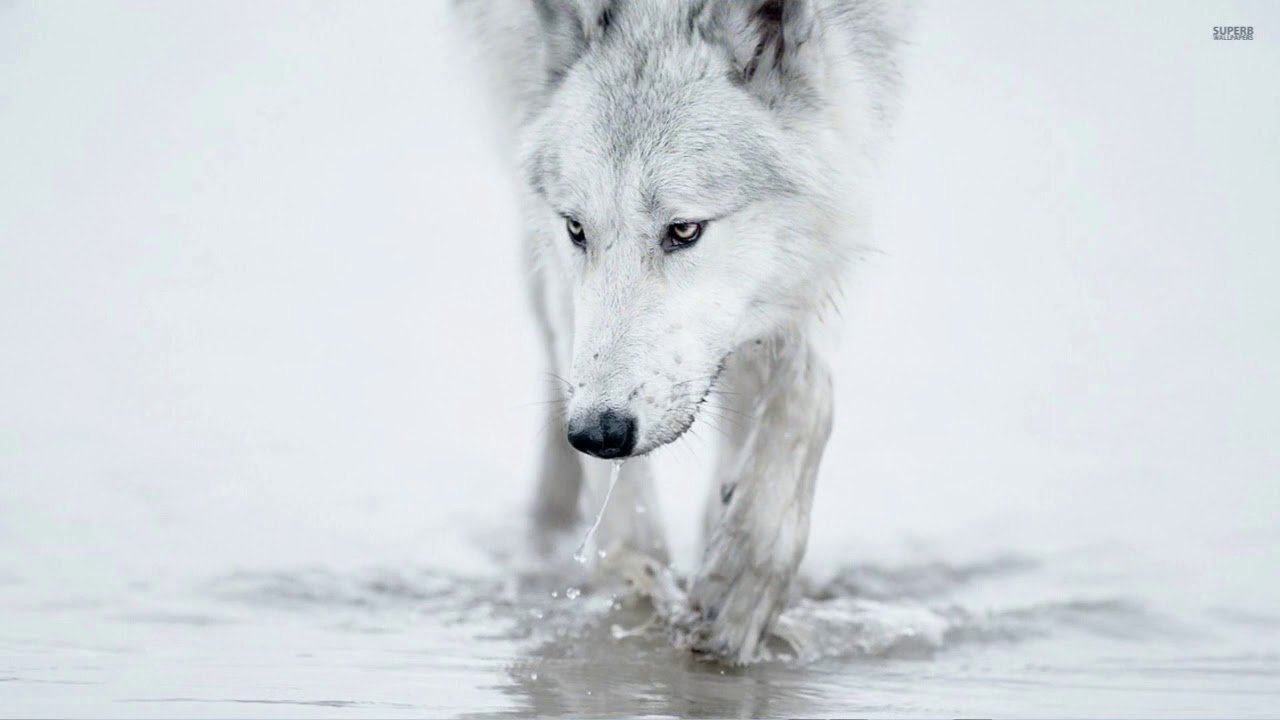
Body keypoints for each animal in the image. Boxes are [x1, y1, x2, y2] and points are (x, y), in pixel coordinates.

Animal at [454, 0, 908, 663]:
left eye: (685, 230)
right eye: (576, 228)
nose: (597, 432)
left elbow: (805, 387)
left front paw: (741, 576)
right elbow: (628, 519)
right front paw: (637, 595)